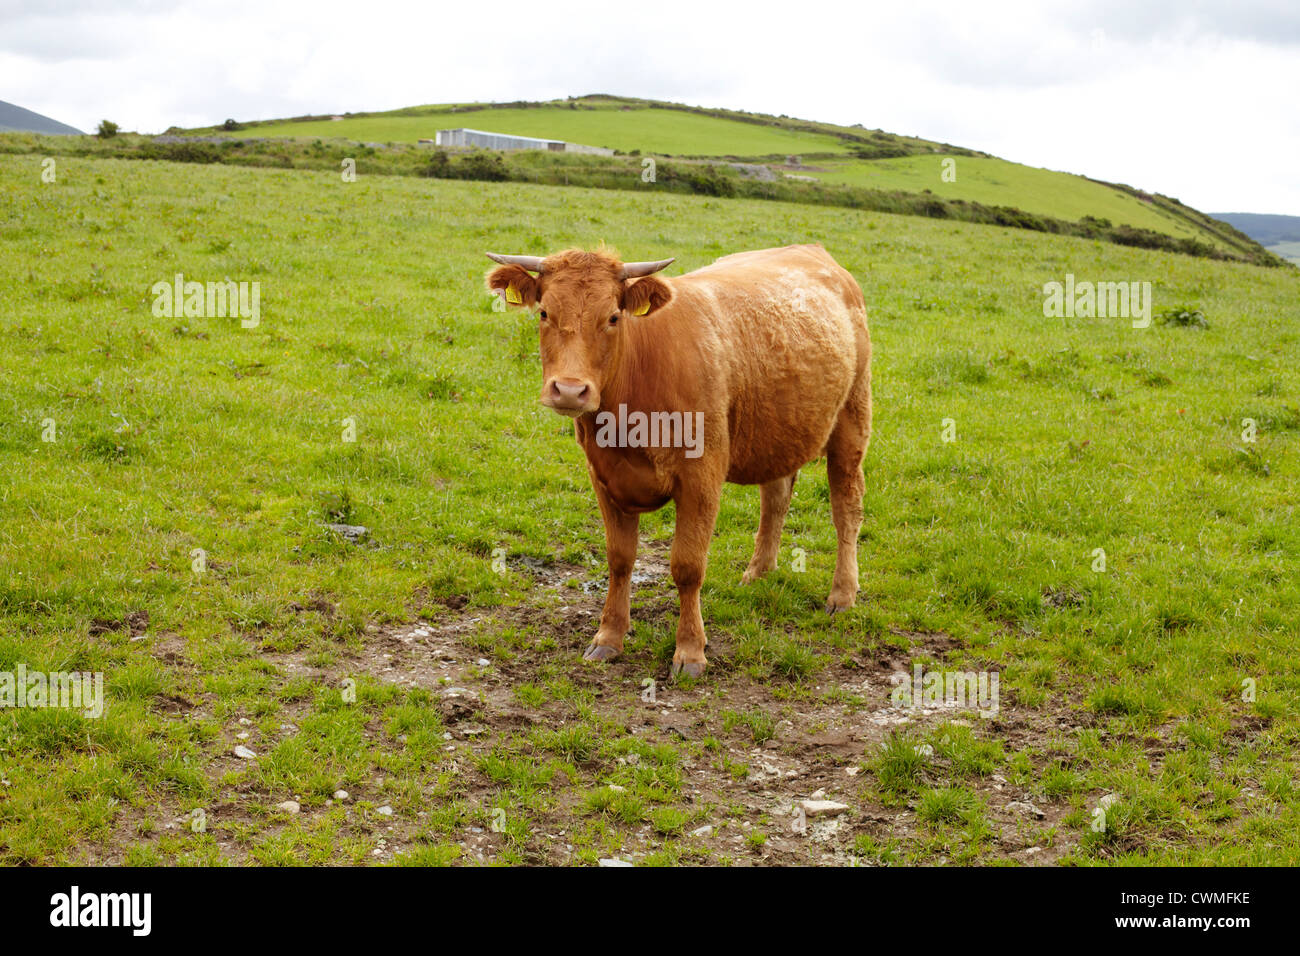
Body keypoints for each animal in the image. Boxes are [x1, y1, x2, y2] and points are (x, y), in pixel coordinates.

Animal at [485, 244, 871, 677]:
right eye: (544, 313)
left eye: (613, 317)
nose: (569, 390)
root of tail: (813, 251)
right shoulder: (603, 478)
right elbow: (620, 560)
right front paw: (609, 636)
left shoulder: (701, 479)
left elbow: (687, 567)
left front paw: (690, 651)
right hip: (778, 430)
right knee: (775, 497)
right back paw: (758, 572)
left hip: (852, 419)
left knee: (846, 507)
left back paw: (842, 593)